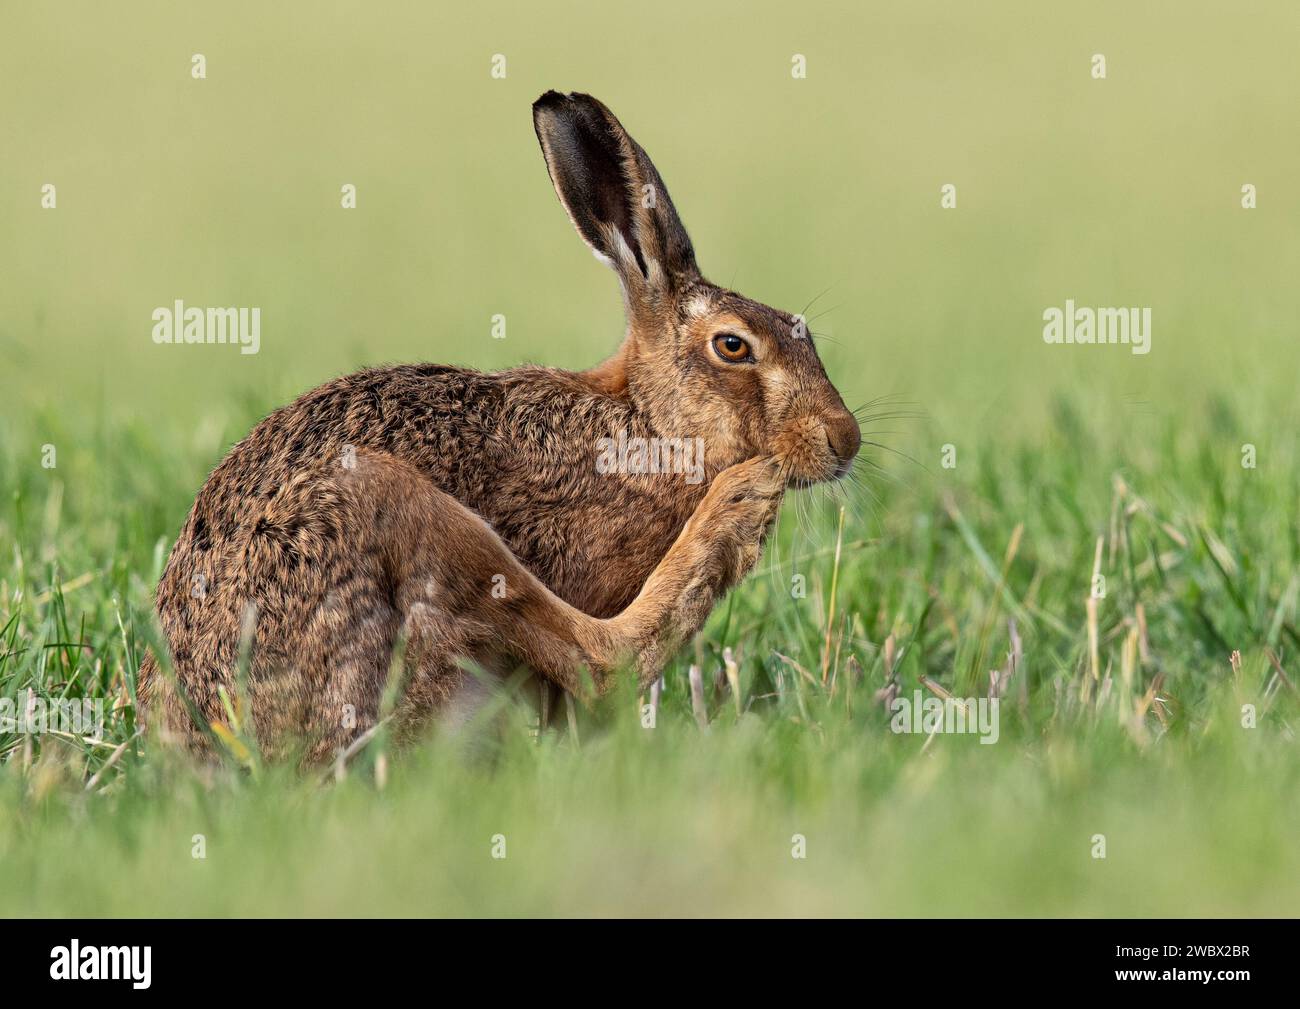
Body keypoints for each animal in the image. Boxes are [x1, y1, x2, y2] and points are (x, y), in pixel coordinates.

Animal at [138, 91, 861, 764]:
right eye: (733, 346)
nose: (845, 440)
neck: (653, 425)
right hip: (392, 507)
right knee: (604, 659)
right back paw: (740, 511)